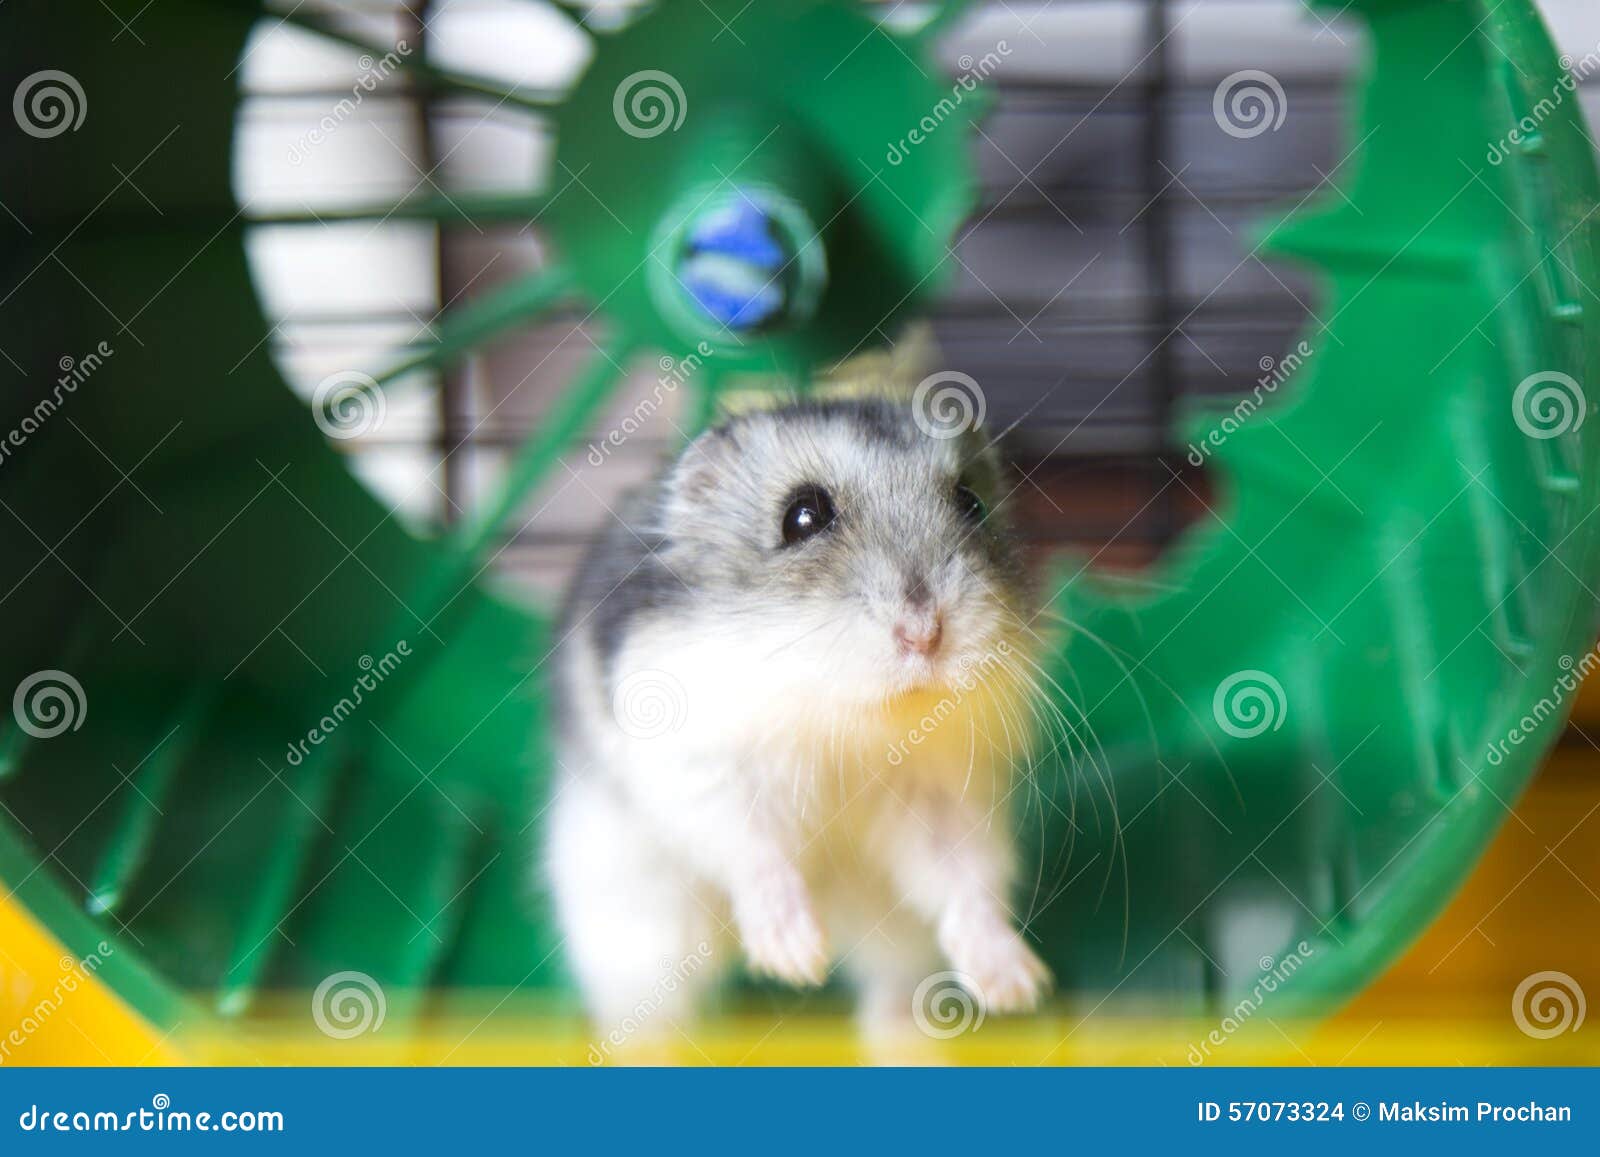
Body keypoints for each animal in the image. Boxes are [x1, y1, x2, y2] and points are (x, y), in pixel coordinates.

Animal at [545, 396, 1051, 1052]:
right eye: (802, 518)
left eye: (971, 502)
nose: (925, 634)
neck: (843, 716)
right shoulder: (700, 769)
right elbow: (754, 851)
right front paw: (796, 960)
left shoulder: (948, 795)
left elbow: (965, 876)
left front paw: (1017, 987)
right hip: (631, 921)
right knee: (647, 1014)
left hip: (893, 928)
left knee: (892, 985)